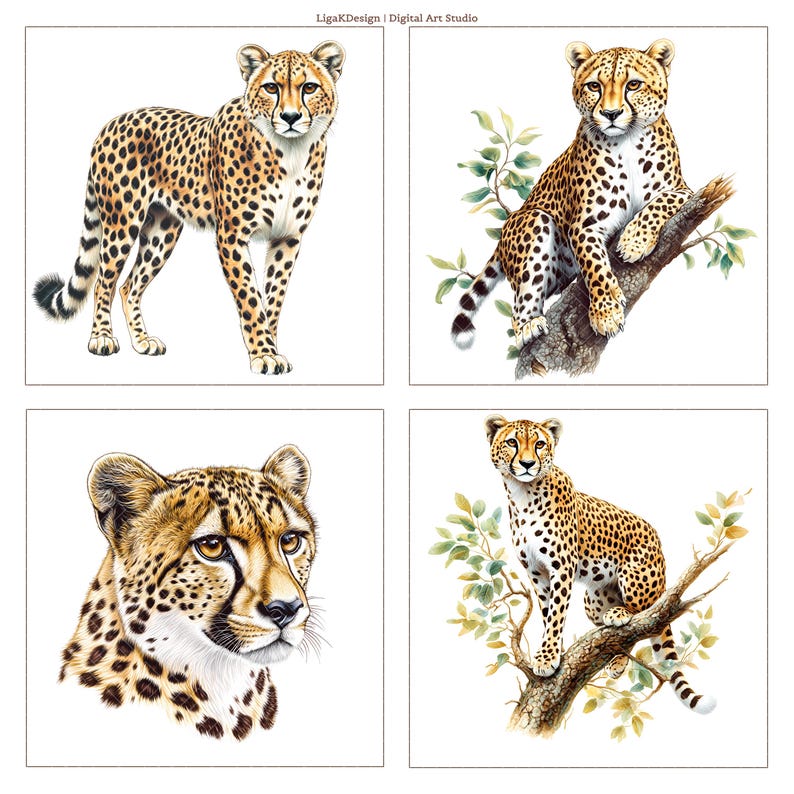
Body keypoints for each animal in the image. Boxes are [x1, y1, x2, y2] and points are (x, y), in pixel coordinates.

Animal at [34, 41, 345, 375]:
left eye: (309, 87)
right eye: (271, 87)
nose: (289, 117)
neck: (290, 151)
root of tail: (113, 122)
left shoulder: (288, 237)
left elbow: (274, 298)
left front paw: (270, 347)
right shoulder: (232, 236)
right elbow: (250, 298)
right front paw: (263, 353)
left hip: (162, 232)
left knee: (130, 286)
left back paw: (142, 341)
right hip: (122, 225)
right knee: (103, 283)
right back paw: (102, 338)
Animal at [452, 39, 692, 351]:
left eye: (633, 85)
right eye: (594, 86)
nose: (611, 114)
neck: (626, 140)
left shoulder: (683, 190)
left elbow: (660, 203)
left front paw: (634, 241)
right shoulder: (584, 225)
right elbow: (595, 266)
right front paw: (606, 313)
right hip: (534, 220)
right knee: (521, 300)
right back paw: (529, 325)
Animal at [485, 414, 715, 714]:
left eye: (540, 444)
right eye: (512, 442)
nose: (526, 464)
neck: (522, 493)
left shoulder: (561, 567)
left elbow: (556, 614)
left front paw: (547, 658)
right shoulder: (537, 573)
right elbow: (549, 614)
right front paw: (552, 653)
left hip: (635, 580)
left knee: (645, 619)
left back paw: (620, 614)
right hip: (592, 602)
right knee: (623, 637)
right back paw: (616, 658)